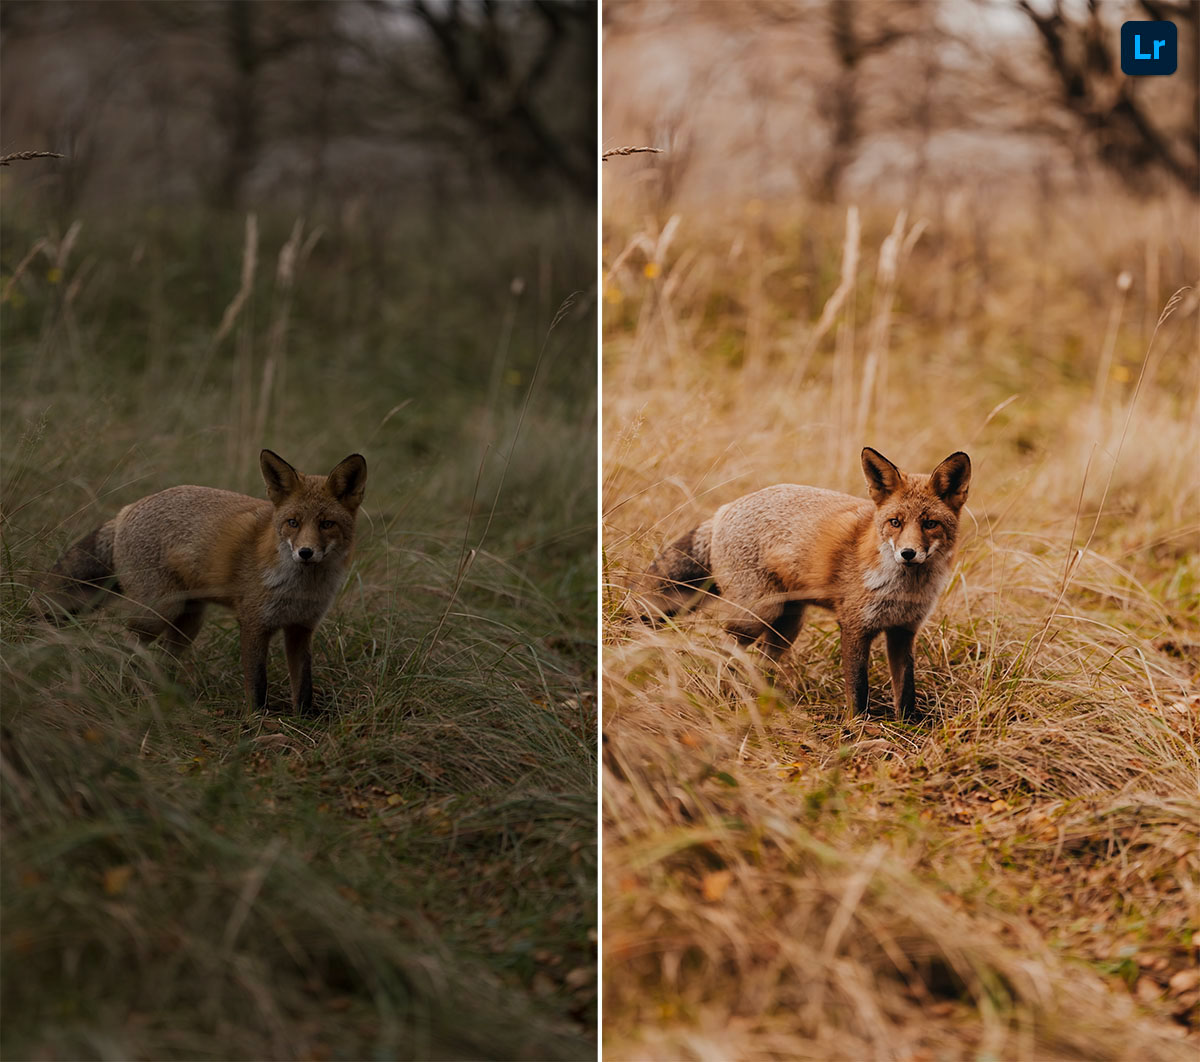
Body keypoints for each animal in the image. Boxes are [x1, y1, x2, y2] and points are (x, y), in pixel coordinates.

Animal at [43, 449, 367, 713]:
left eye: (326, 524)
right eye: (293, 523)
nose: (305, 552)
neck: (300, 589)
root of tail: (127, 510)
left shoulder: (301, 628)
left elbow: (303, 687)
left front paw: (303, 721)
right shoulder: (253, 622)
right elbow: (257, 684)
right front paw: (256, 724)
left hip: (188, 622)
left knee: (165, 658)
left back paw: (167, 696)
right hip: (158, 613)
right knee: (127, 645)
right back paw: (133, 690)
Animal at [641, 448, 971, 719]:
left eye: (930, 524)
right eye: (895, 522)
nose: (908, 553)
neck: (904, 590)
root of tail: (725, 509)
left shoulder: (903, 631)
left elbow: (906, 692)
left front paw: (907, 728)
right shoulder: (854, 626)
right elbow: (858, 689)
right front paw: (858, 730)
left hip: (787, 625)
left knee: (763, 662)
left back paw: (765, 701)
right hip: (757, 616)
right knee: (724, 650)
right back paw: (728, 694)